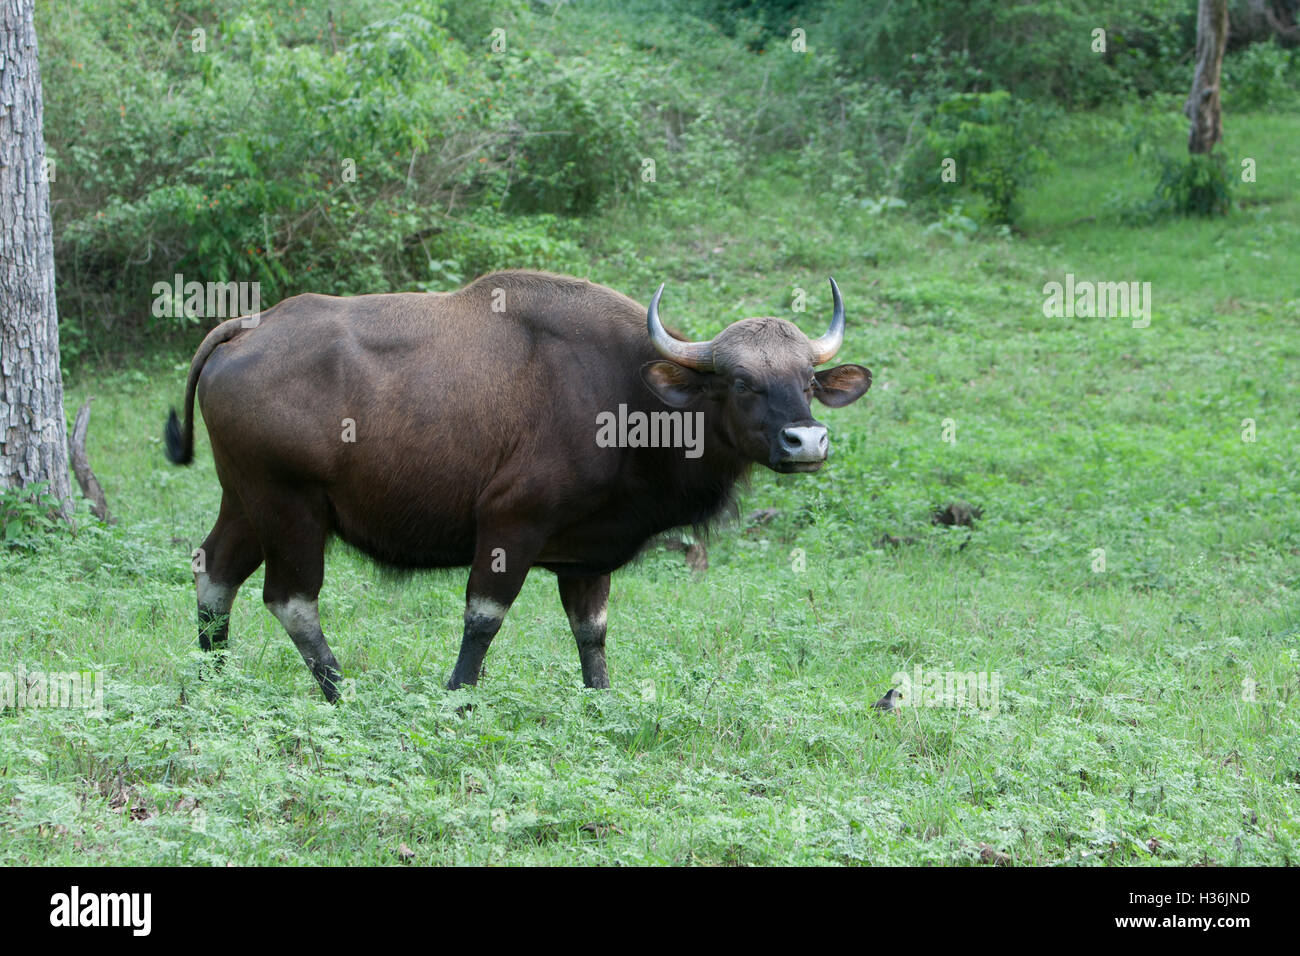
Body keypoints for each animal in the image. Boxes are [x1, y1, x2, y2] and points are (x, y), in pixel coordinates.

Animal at [164, 271, 871, 701]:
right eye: (742, 382)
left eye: (808, 381)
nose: (807, 443)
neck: (624, 393)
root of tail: (247, 326)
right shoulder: (509, 525)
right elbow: (484, 619)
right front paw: (456, 698)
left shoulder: (586, 554)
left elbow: (592, 631)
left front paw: (600, 703)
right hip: (291, 506)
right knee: (291, 600)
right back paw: (343, 694)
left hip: (245, 500)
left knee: (214, 573)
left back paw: (213, 682)